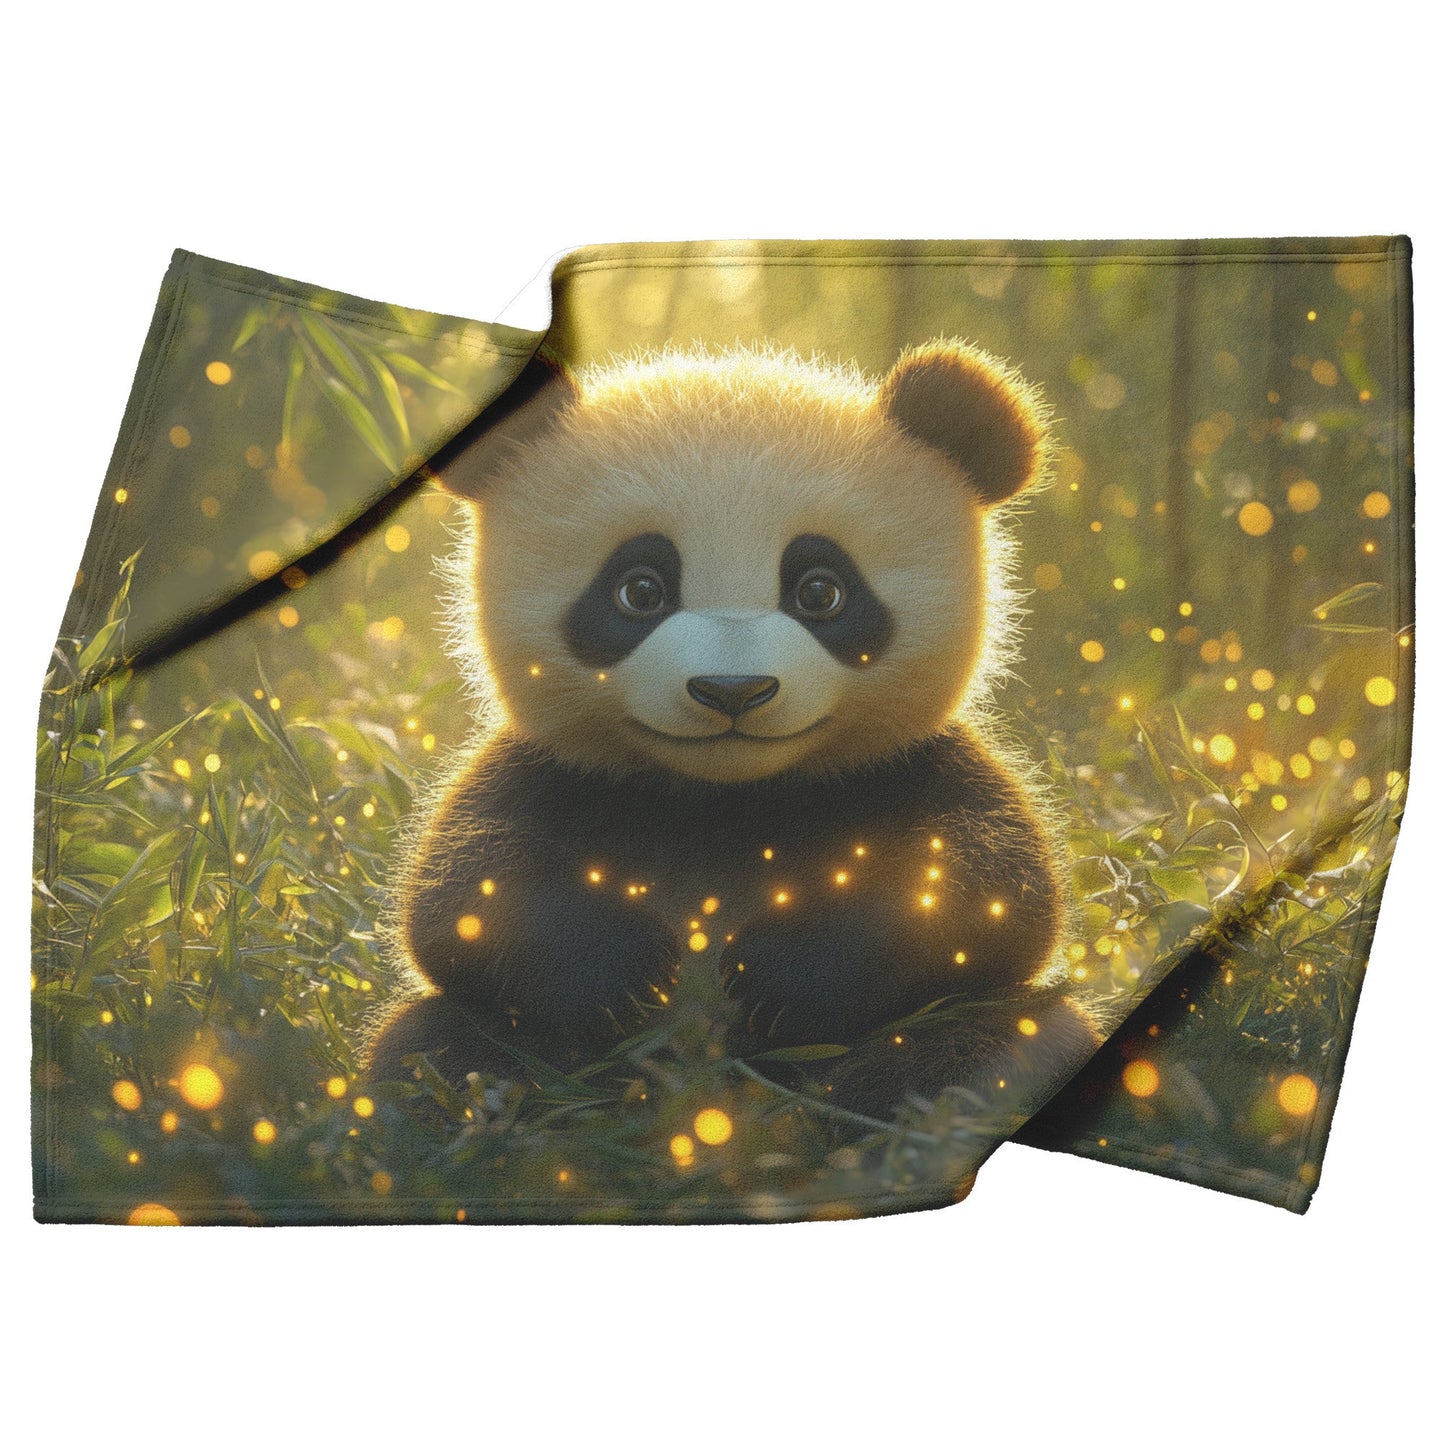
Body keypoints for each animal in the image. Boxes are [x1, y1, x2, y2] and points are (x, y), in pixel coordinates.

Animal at [367, 340, 1097, 1114]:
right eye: (639, 590)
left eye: (820, 590)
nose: (732, 690)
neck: (728, 798)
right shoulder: (554, 770)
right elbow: (459, 893)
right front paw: (627, 975)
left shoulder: (909, 763)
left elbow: (991, 888)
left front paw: (777, 975)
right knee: (435, 1053)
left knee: (995, 1042)